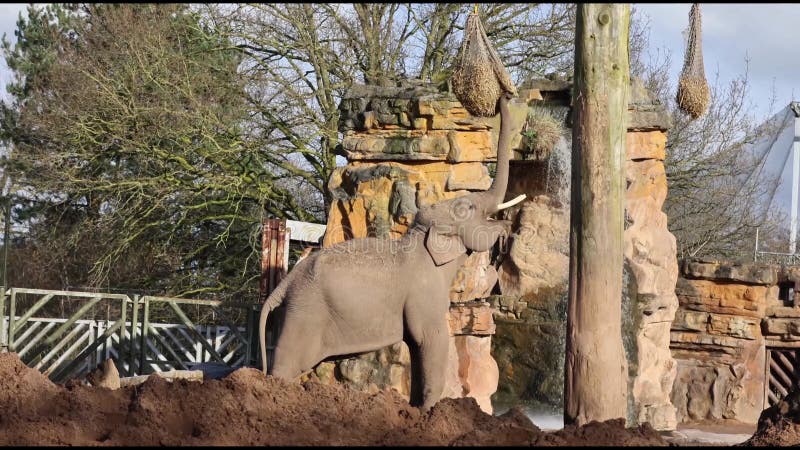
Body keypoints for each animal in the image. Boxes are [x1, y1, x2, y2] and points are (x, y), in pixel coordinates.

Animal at [258, 91, 525, 410]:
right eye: (467, 208)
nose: (506, 96)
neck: (421, 238)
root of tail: (284, 286)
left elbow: (414, 345)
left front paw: (414, 409)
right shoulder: (423, 290)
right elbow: (431, 338)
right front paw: (429, 411)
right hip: (304, 314)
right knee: (285, 364)